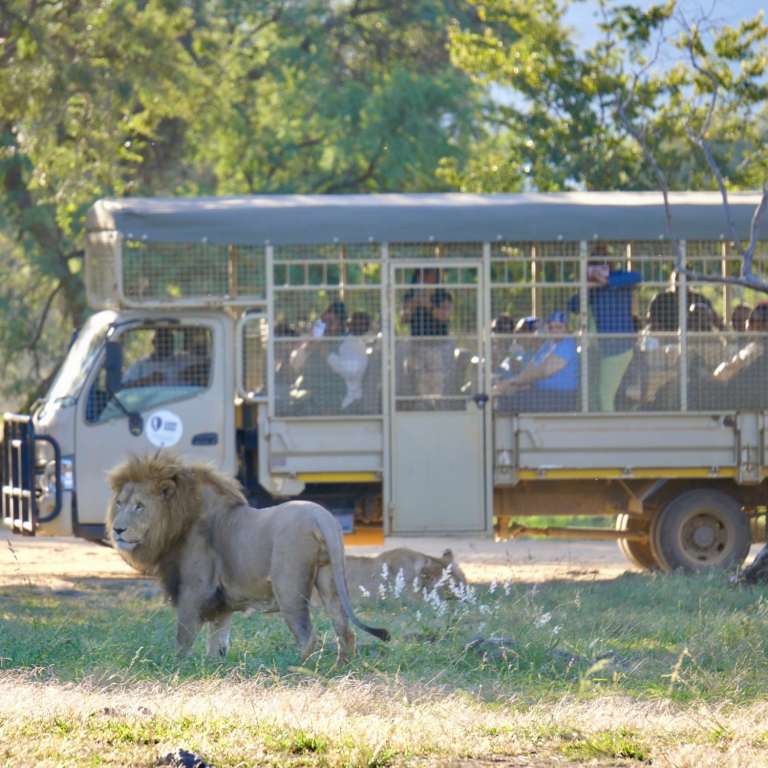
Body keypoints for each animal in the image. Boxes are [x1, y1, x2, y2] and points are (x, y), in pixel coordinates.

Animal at [106, 452, 390, 665]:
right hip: (329, 577)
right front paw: (214, 671)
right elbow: (217, 643)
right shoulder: (221, 603)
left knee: (307, 636)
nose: (117, 529)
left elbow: (183, 640)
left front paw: (178, 669)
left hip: (289, 586)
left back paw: (297, 671)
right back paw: (342, 668)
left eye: (139, 506)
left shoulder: (193, 593)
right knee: (345, 630)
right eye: (119, 503)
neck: (178, 523)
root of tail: (323, 517)